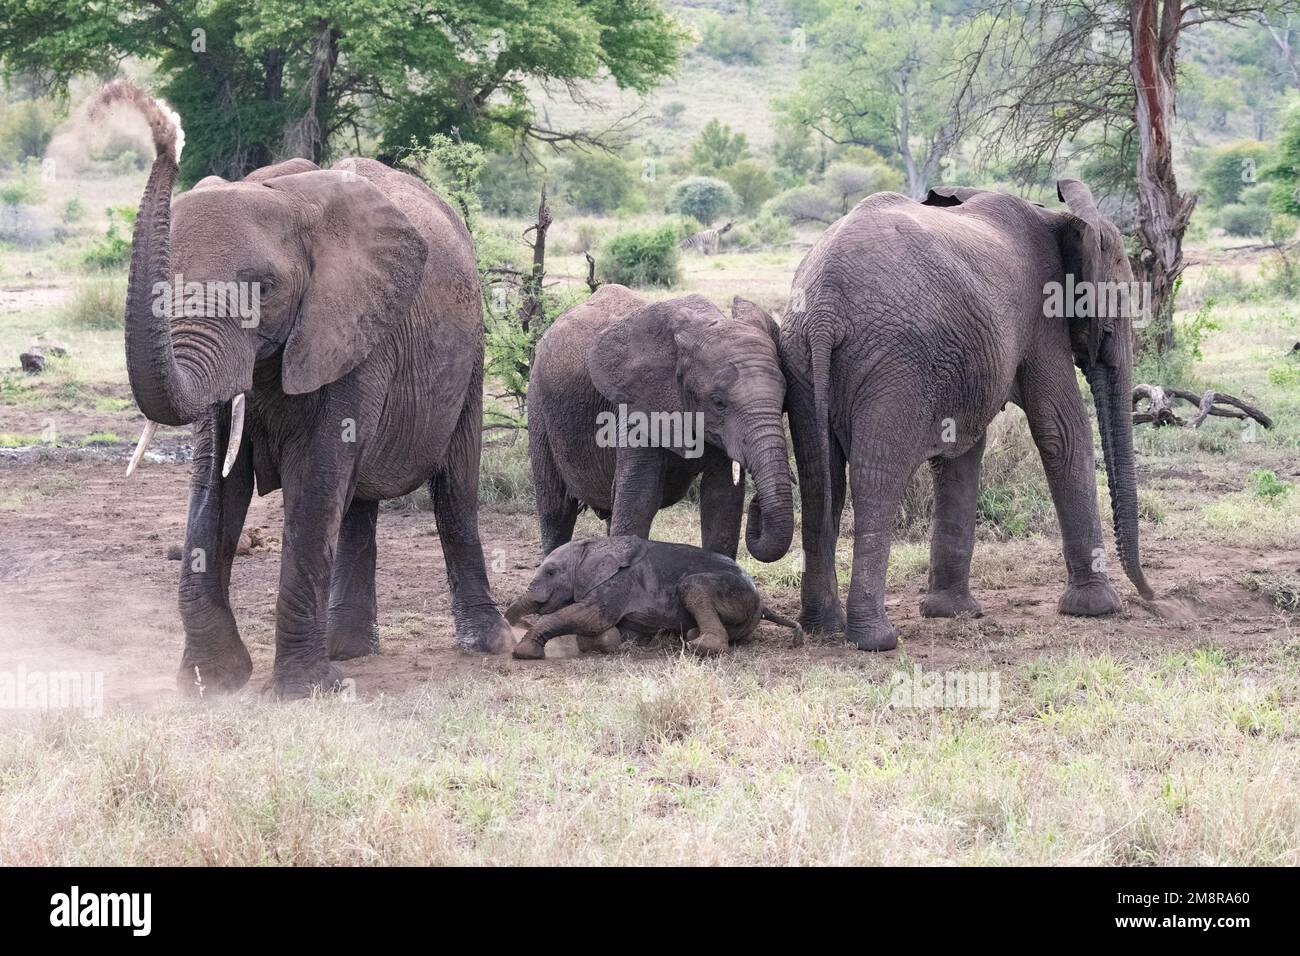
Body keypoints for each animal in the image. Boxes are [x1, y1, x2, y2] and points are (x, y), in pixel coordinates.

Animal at [105, 80, 513, 698]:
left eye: (264, 289)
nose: (164, 125)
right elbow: (213, 483)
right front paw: (211, 683)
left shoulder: (357, 331)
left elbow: (317, 473)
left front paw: (309, 690)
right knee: (357, 501)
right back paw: (348, 650)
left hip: (471, 357)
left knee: (454, 488)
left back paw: (487, 644)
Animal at [505, 536, 803, 659]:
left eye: (551, 572)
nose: (511, 624)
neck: (593, 544)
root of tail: (762, 603)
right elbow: (600, 628)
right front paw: (607, 642)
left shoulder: (619, 581)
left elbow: (593, 616)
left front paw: (524, 652)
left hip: (735, 593)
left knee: (692, 586)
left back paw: (696, 646)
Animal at [527, 285, 793, 563]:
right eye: (718, 402)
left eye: (785, 398)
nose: (758, 502)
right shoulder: (636, 407)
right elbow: (639, 499)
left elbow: (722, 500)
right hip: (537, 402)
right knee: (555, 508)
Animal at [779, 178, 1155, 651]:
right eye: (1121, 297)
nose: (1149, 597)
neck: (1059, 216)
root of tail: (824, 310)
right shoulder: (1041, 318)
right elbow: (1061, 430)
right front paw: (1098, 609)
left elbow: (960, 450)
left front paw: (952, 613)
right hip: (895, 363)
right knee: (876, 477)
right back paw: (876, 639)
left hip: (801, 357)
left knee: (818, 478)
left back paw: (823, 626)